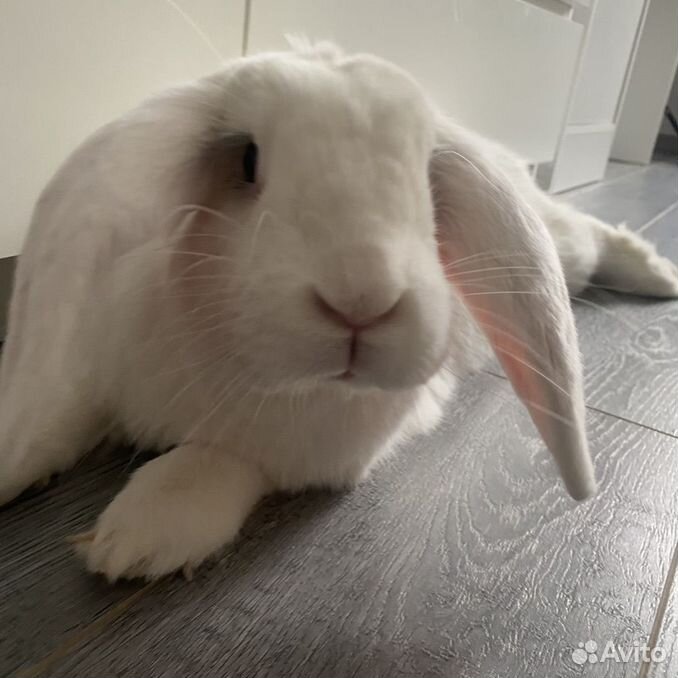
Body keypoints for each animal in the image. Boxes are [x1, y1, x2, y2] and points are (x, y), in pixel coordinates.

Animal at [1, 43, 676, 582]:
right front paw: (17, 466)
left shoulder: (310, 452)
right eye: (247, 160)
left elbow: (223, 456)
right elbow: (53, 420)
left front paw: (141, 534)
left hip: (561, 246)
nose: (362, 298)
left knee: (592, 234)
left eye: (425, 183)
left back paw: (656, 275)